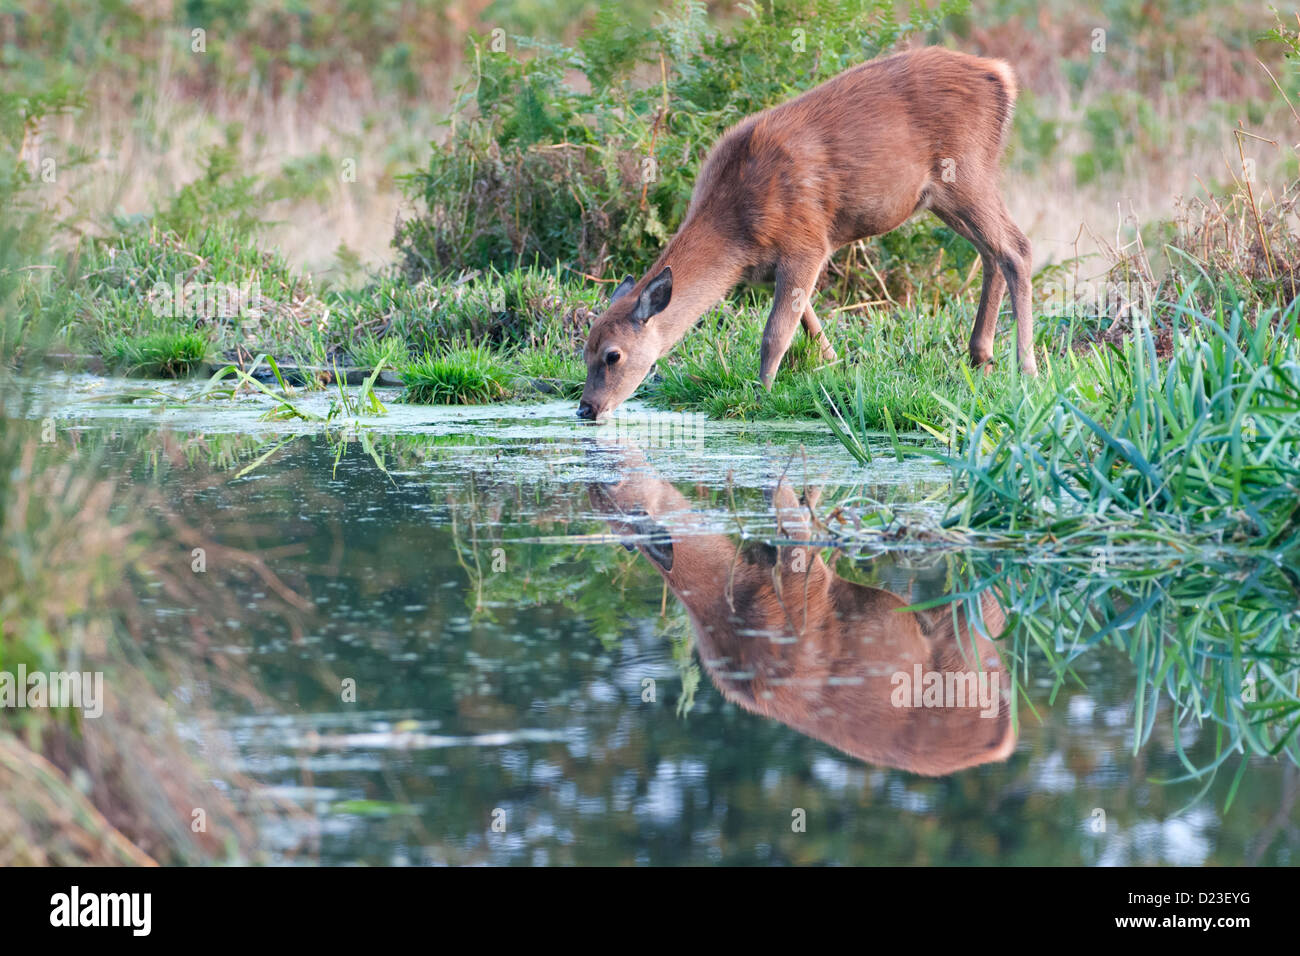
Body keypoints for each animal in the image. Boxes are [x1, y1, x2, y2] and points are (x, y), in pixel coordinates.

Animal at [577, 46, 1036, 421]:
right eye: (584, 349)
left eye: (612, 355)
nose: (586, 409)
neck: (736, 232)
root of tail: (1002, 75)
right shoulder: (783, 261)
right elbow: (808, 320)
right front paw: (838, 365)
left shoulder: (806, 241)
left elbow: (775, 332)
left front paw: (760, 393)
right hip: (947, 196)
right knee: (992, 253)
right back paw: (980, 357)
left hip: (965, 173)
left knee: (1017, 248)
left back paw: (1027, 367)